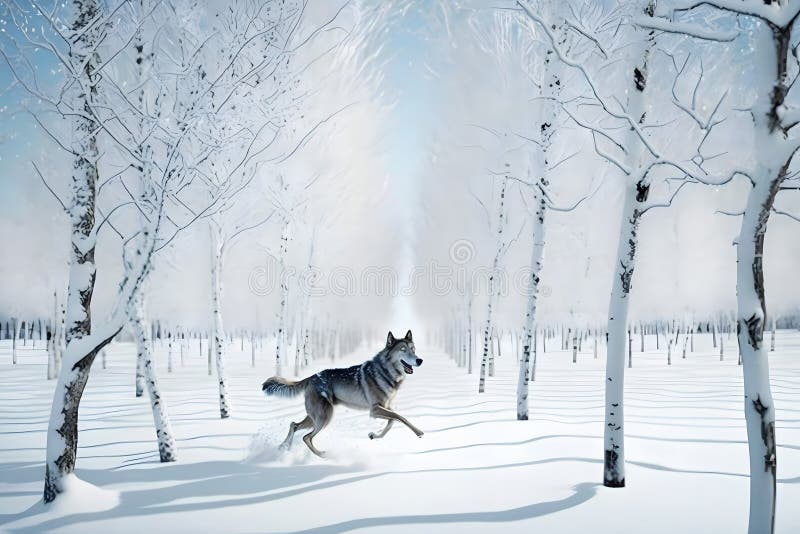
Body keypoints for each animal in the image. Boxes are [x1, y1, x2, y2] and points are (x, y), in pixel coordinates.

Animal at [261, 330, 424, 457]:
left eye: (413, 349)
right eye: (403, 349)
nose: (420, 360)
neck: (385, 372)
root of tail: (312, 377)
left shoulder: (385, 407)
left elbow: (391, 422)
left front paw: (373, 435)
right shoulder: (374, 410)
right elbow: (400, 417)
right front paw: (419, 432)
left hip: (315, 418)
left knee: (293, 425)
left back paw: (284, 447)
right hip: (325, 418)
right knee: (306, 437)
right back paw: (322, 455)